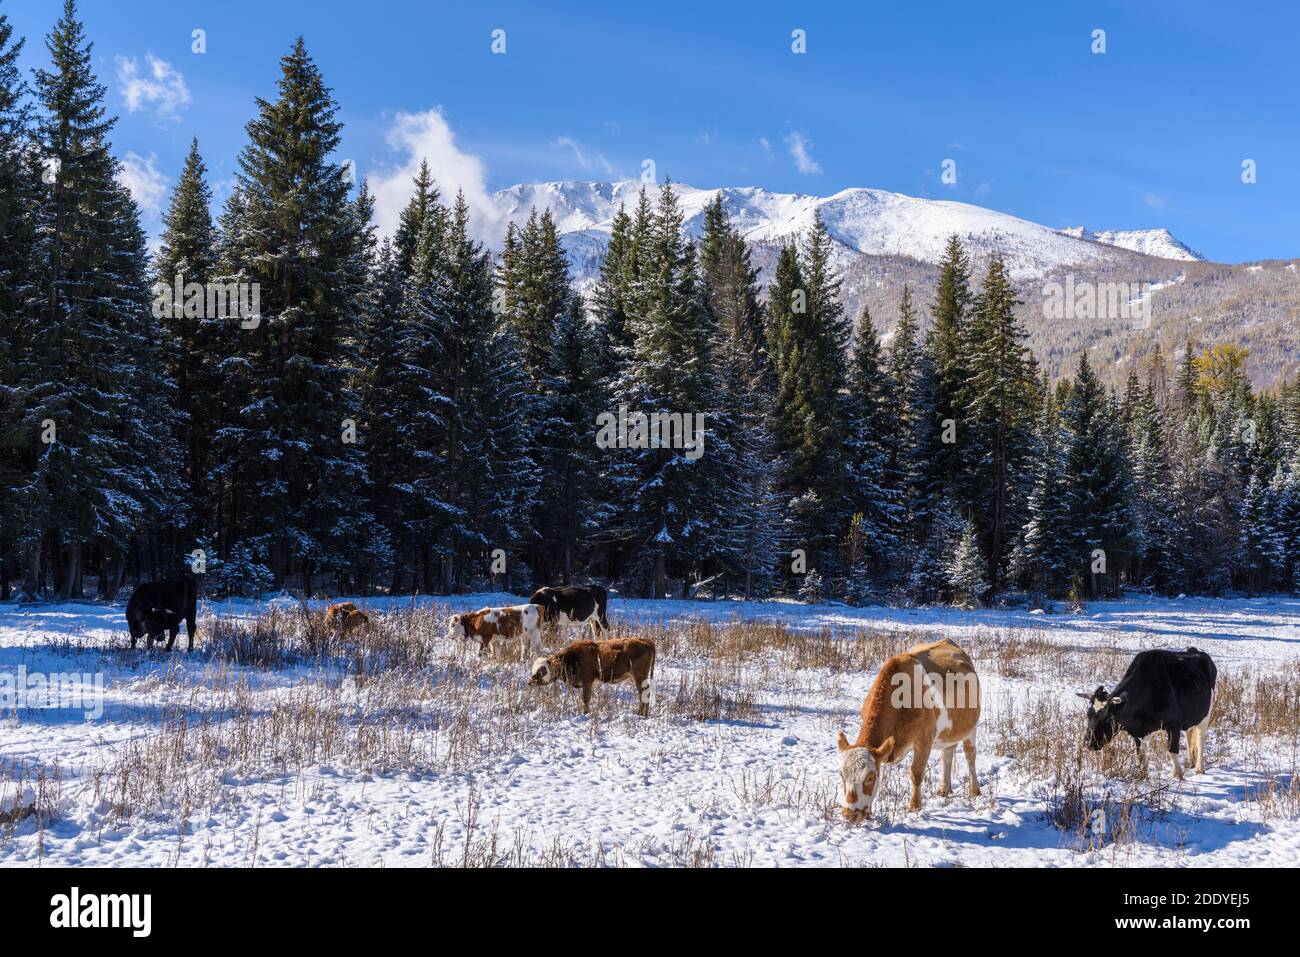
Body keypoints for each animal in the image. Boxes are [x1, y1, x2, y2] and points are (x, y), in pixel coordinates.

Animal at [836, 638, 981, 822]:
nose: (850, 814)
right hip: (949, 732)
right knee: (947, 754)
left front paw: (915, 807)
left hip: (971, 727)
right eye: (842, 775)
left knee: (970, 755)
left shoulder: (924, 741)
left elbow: (916, 773)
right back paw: (944, 789)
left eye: (869, 777)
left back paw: (975, 790)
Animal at [1077, 647, 1217, 780]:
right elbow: (1141, 754)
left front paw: (1178, 775)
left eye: (1108, 717)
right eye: (1088, 715)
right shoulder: (1138, 732)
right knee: (1189, 733)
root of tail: (1195, 650)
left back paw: (1199, 768)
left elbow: (1171, 750)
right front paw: (1143, 775)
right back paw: (1190, 763)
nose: (1087, 744)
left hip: (1206, 714)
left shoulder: (1174, 724)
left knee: (1200, 738)